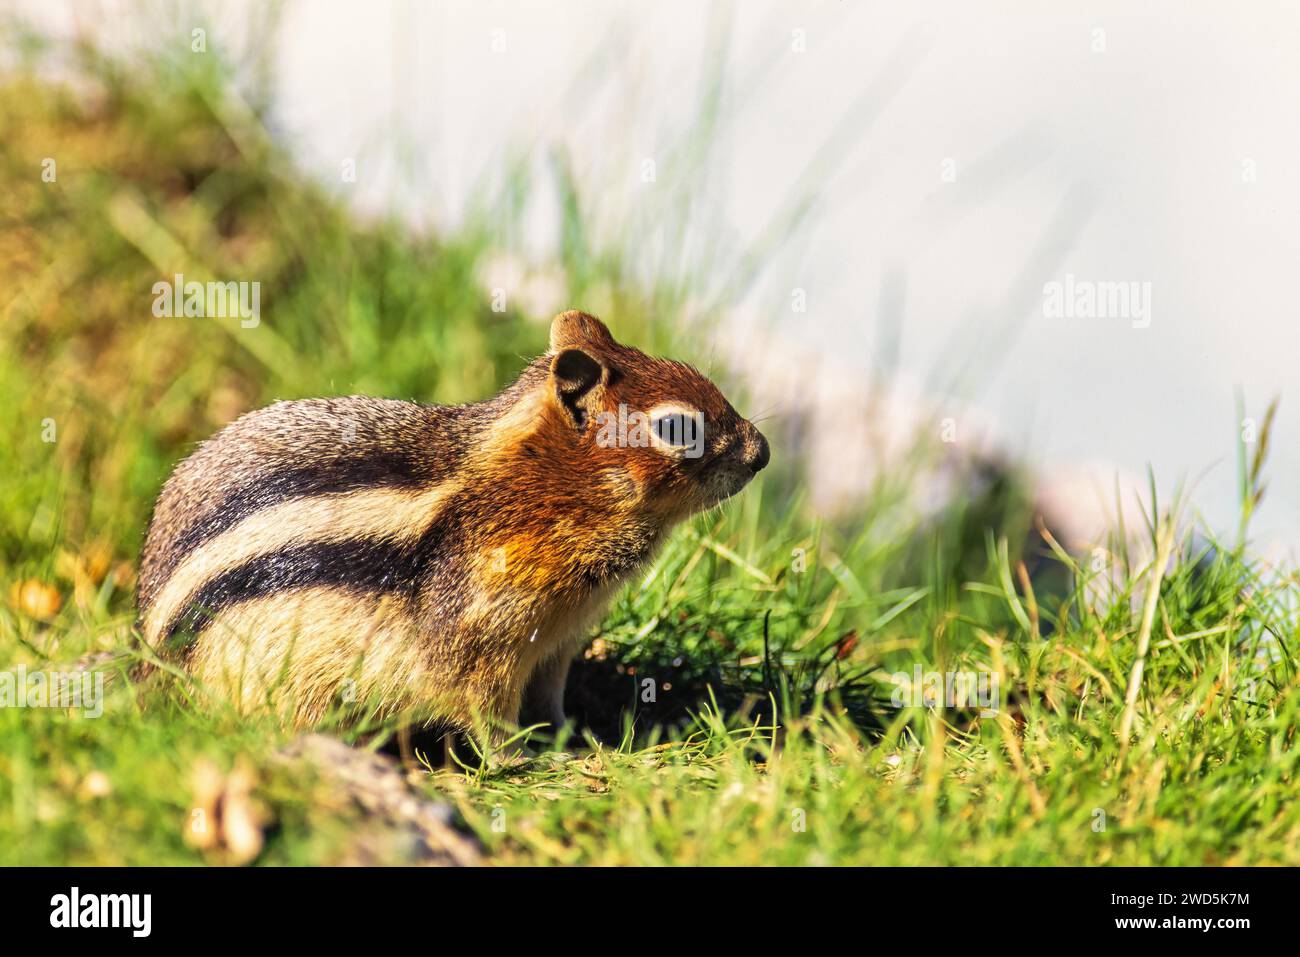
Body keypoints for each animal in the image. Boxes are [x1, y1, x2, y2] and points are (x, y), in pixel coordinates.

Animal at [136, 311, 770, 743]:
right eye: (677, 428)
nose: (761, 452)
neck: (543, 489)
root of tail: (147, 669)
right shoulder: (485, 634)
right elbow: (485, 708)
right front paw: (519, 756)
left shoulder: (557, 641)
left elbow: (551, 696)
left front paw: (573, 740)